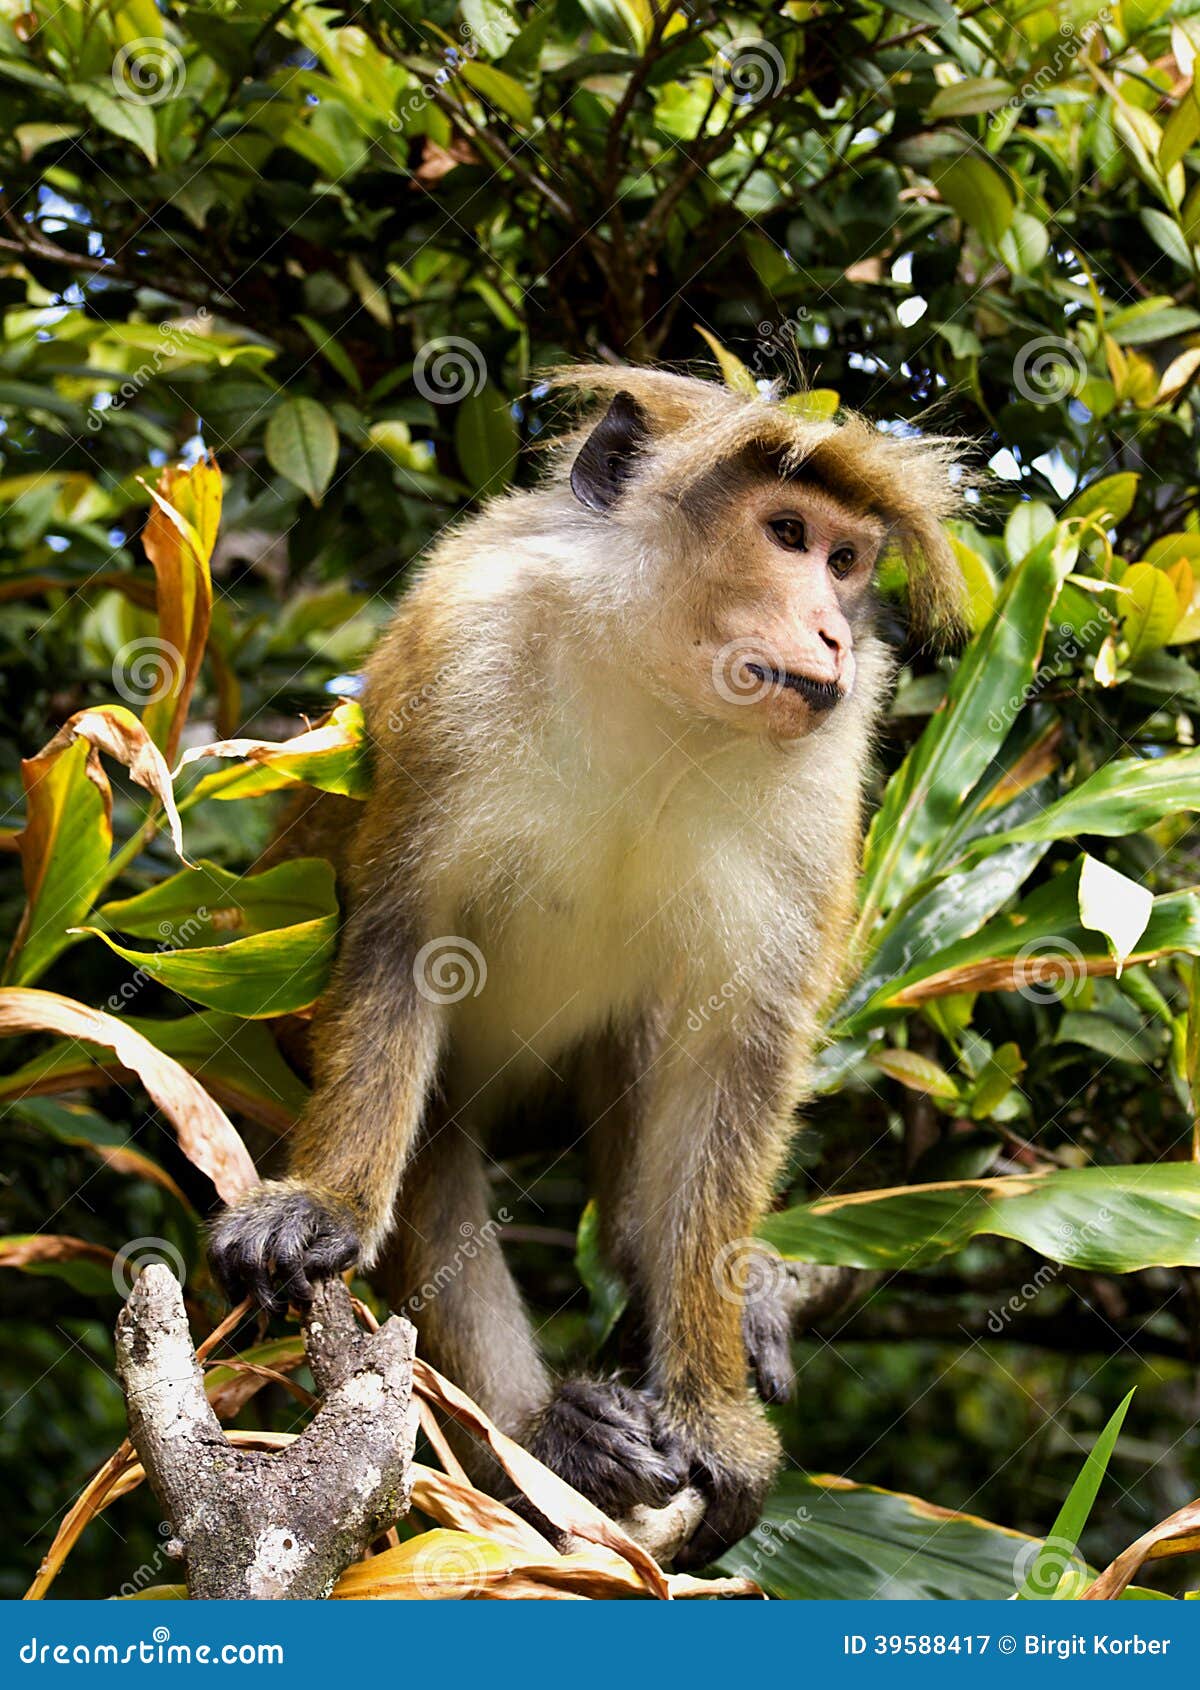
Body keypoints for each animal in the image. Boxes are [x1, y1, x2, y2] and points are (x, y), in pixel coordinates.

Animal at [210, 365, 965, 1569]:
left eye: (847, 561)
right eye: (787, 534)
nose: (833, 633)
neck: (658, 689)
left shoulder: (822, 770)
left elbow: (732, 1056)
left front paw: (710, 1410)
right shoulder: (460, 645)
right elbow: (402, 942)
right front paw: (321, 1207)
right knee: (438, 1145)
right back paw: (547, 1440)